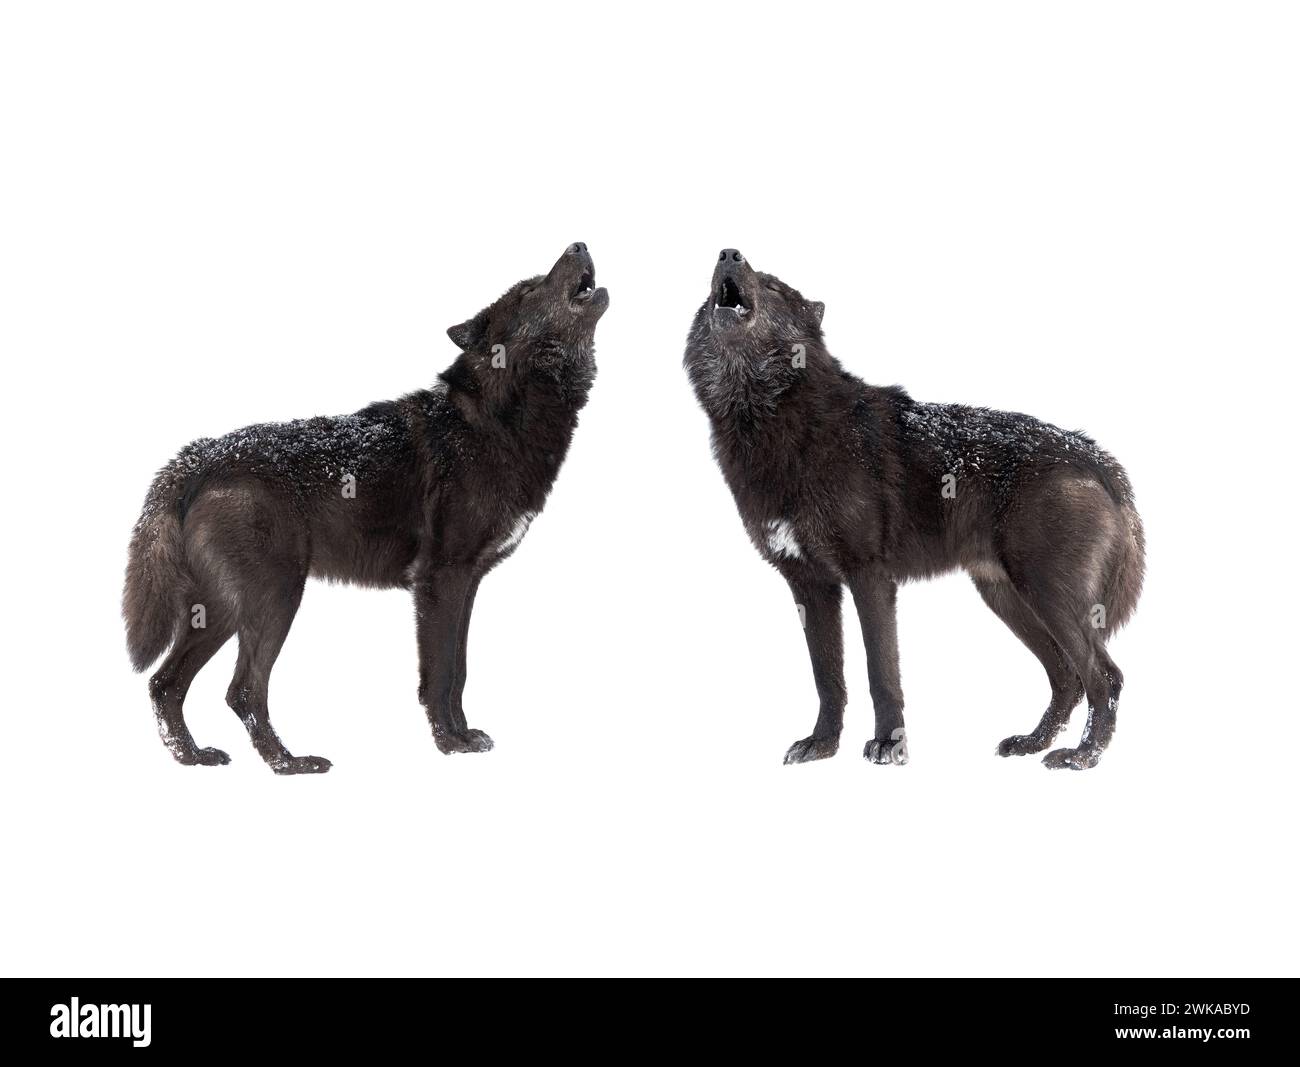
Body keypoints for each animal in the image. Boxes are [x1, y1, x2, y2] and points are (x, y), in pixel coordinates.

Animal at [124, 243, 607, 772]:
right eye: (529, 289)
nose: (579, 244)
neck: (497, 420)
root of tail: (201, 455)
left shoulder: (469, 582)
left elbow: (459, 670)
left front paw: (463, 735)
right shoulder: (441, 580)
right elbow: (441, 673)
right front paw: (449, 743)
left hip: (221, 611)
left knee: (166, 683)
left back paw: (193, 756)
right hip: (274, 599)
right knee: (242, 691)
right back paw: (290, 764)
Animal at [684, 250, 1144, 770]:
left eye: (774, 287)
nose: (729, 253)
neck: (773, 416)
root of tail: (1095, 456)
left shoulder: (869, 577)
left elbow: (880, 674)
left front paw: (889, 746)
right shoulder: (810, 585)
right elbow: (827, 678)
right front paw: (821, 745)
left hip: (1048, 596)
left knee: (1104, 676)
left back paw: (1081, 756)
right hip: (1009, 600)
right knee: (1066, 676)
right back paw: (1032, 743)